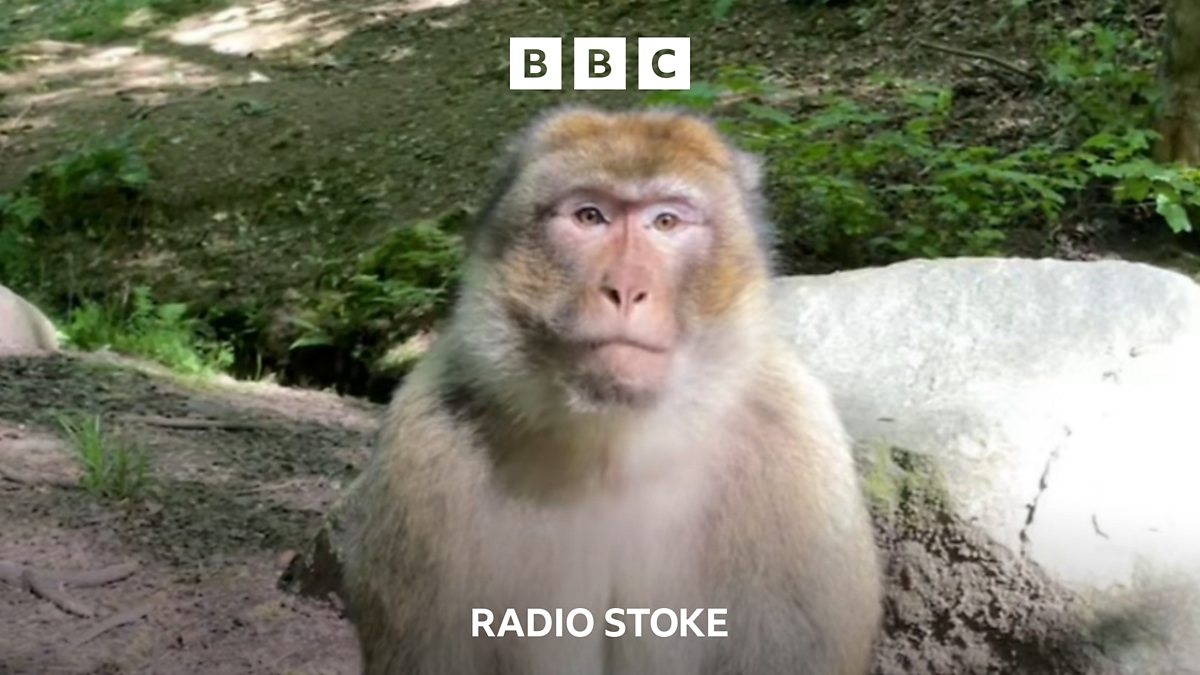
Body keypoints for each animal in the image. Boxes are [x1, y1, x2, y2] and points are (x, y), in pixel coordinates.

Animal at [341, 106, 883, 675]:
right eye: (590, 217)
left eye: (665, 222)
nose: (625, 288)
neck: (616, 445)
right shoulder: (425, 450)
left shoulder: (796, 459)